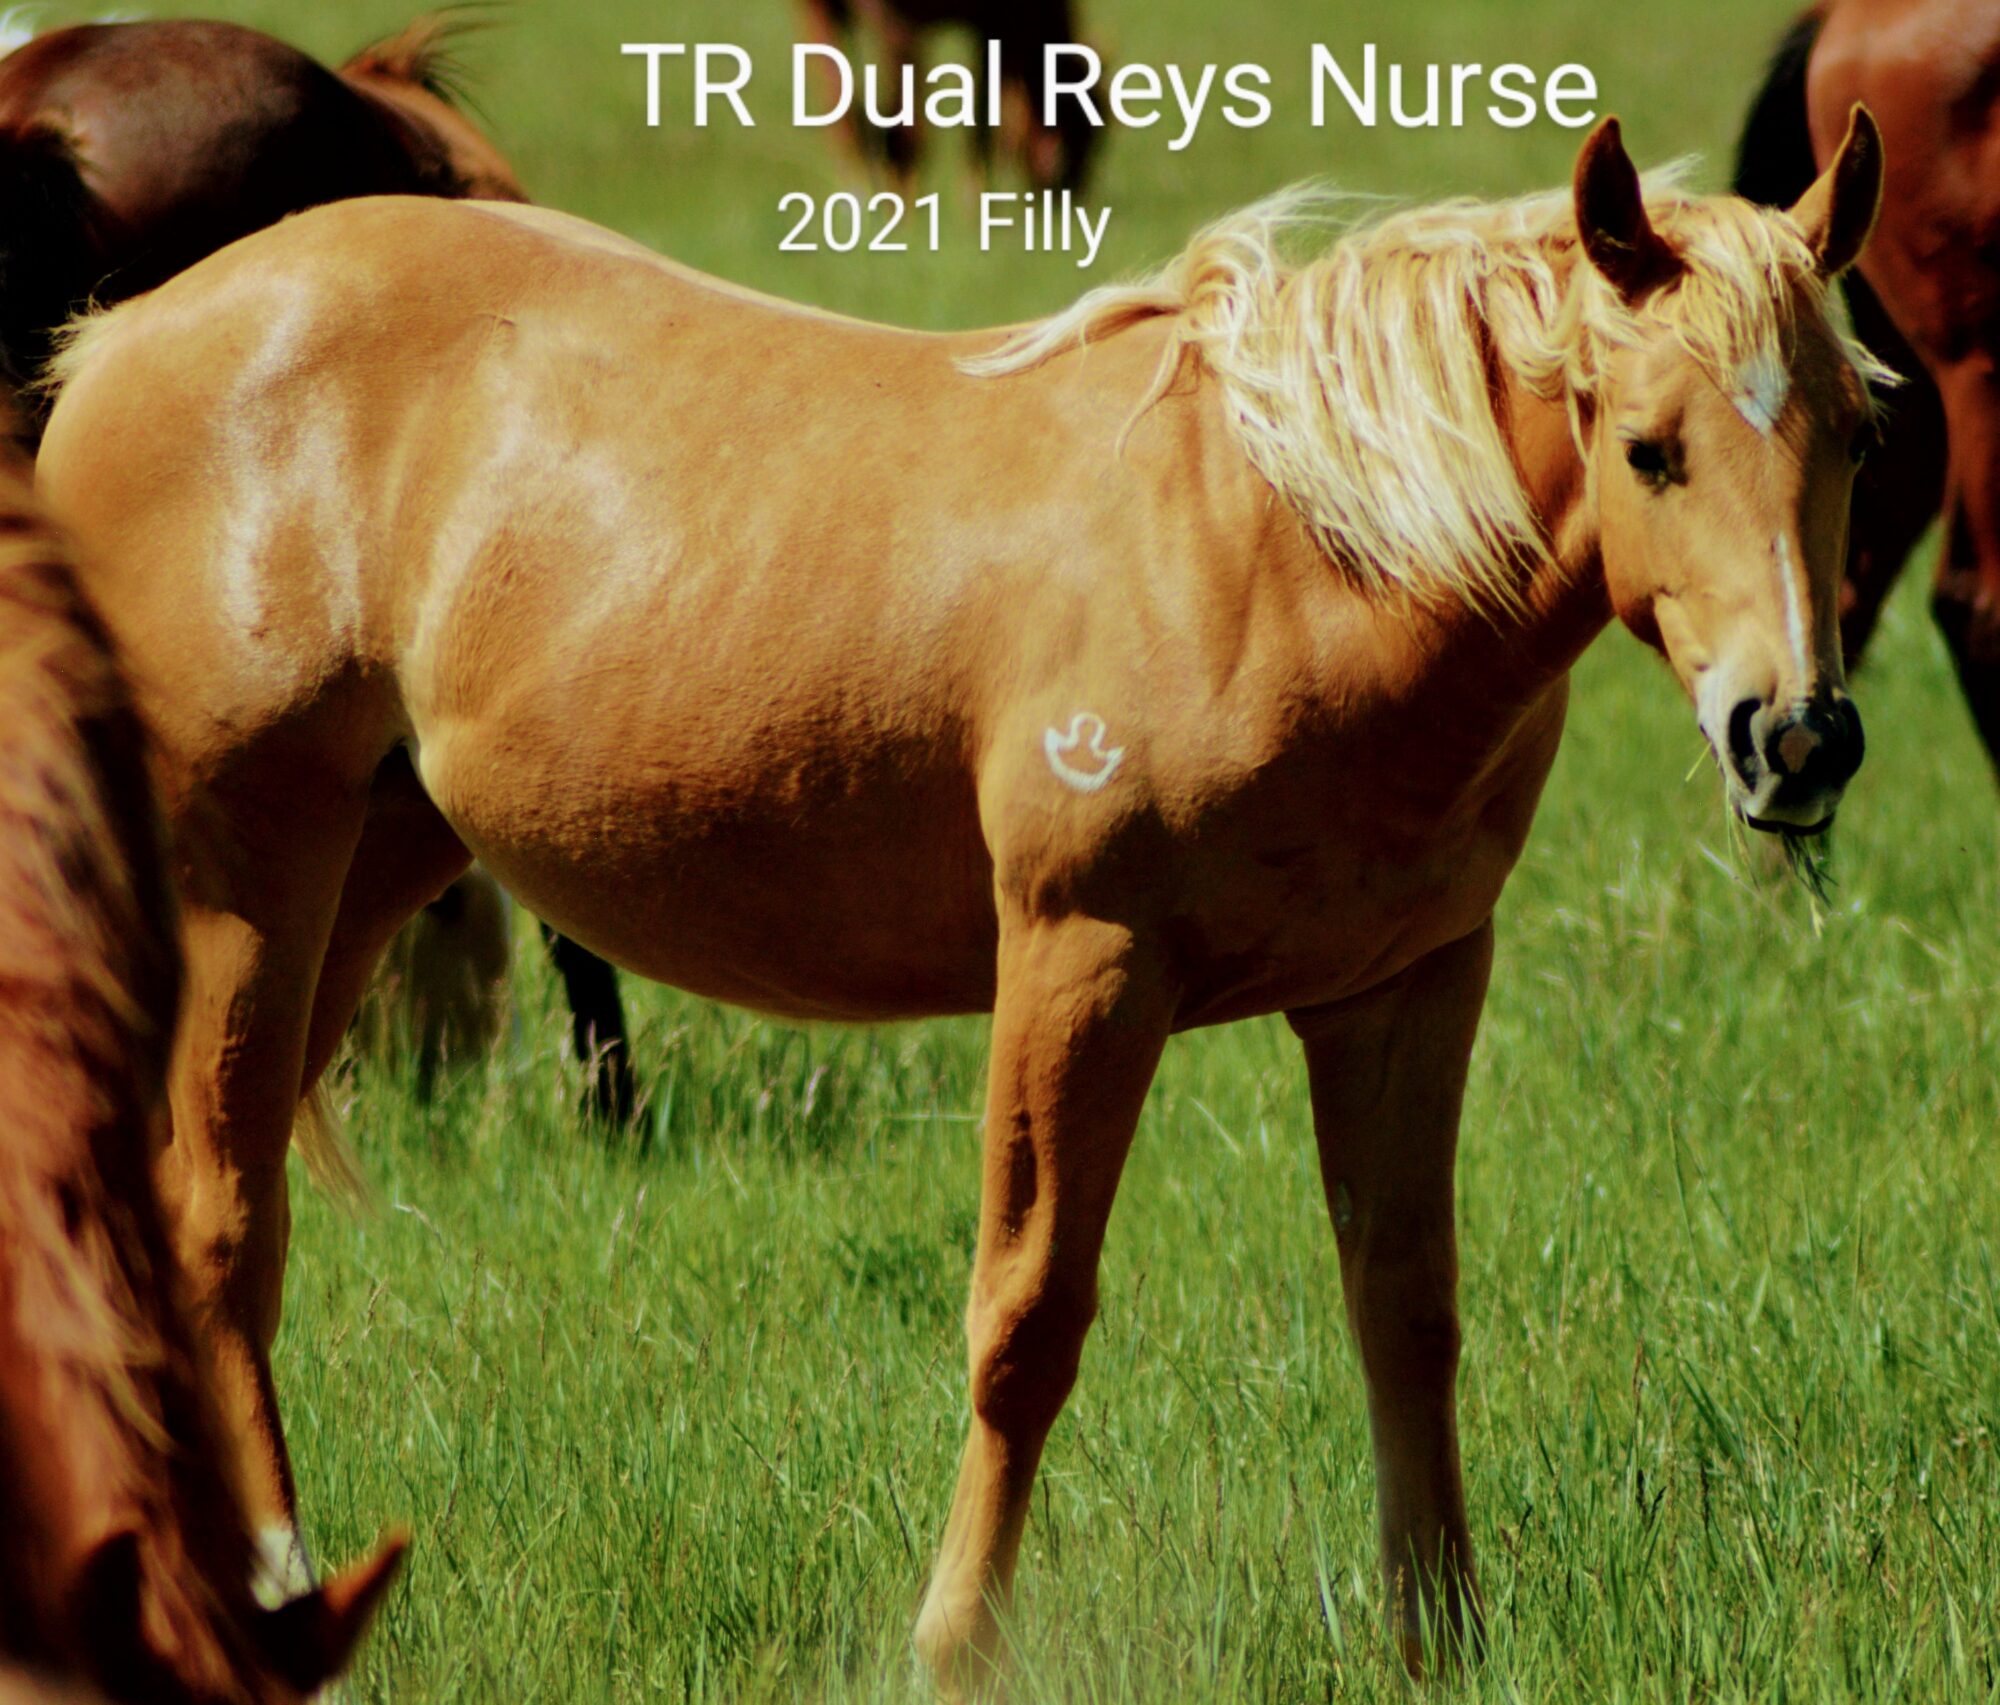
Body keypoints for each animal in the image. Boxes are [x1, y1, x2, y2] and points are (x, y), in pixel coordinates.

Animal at [798, 0, 1100, 191]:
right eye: (1084, 134)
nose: (1074, 201)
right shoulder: (1005, 28)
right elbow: (987, 138)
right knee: (900, 137)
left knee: (848, 123)